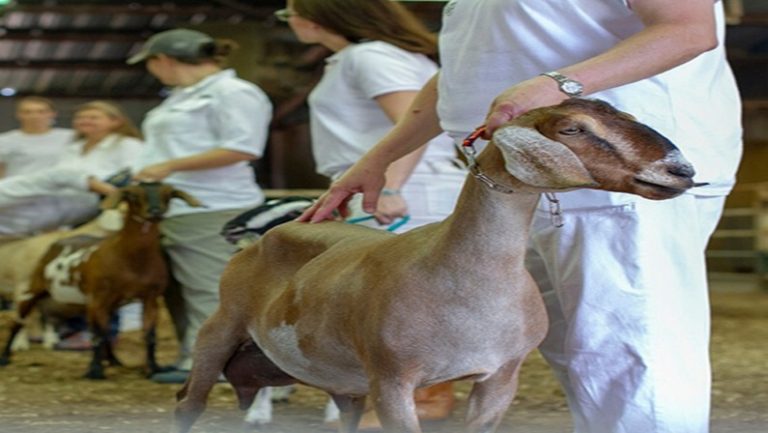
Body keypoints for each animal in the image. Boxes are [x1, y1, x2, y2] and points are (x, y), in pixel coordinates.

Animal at [0, 182, 201, 380]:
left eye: (167, 194)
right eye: (134, 195)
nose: (155, 211)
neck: (130, 259)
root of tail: (57, 242)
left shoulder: (150, 298)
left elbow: (149, 335)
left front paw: (153, 368)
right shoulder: (99, 298)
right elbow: (98, 335)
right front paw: (95, 372)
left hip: (99, 302)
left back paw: (114, 361)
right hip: (32, 288)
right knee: (17, 321)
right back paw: (6, 356)